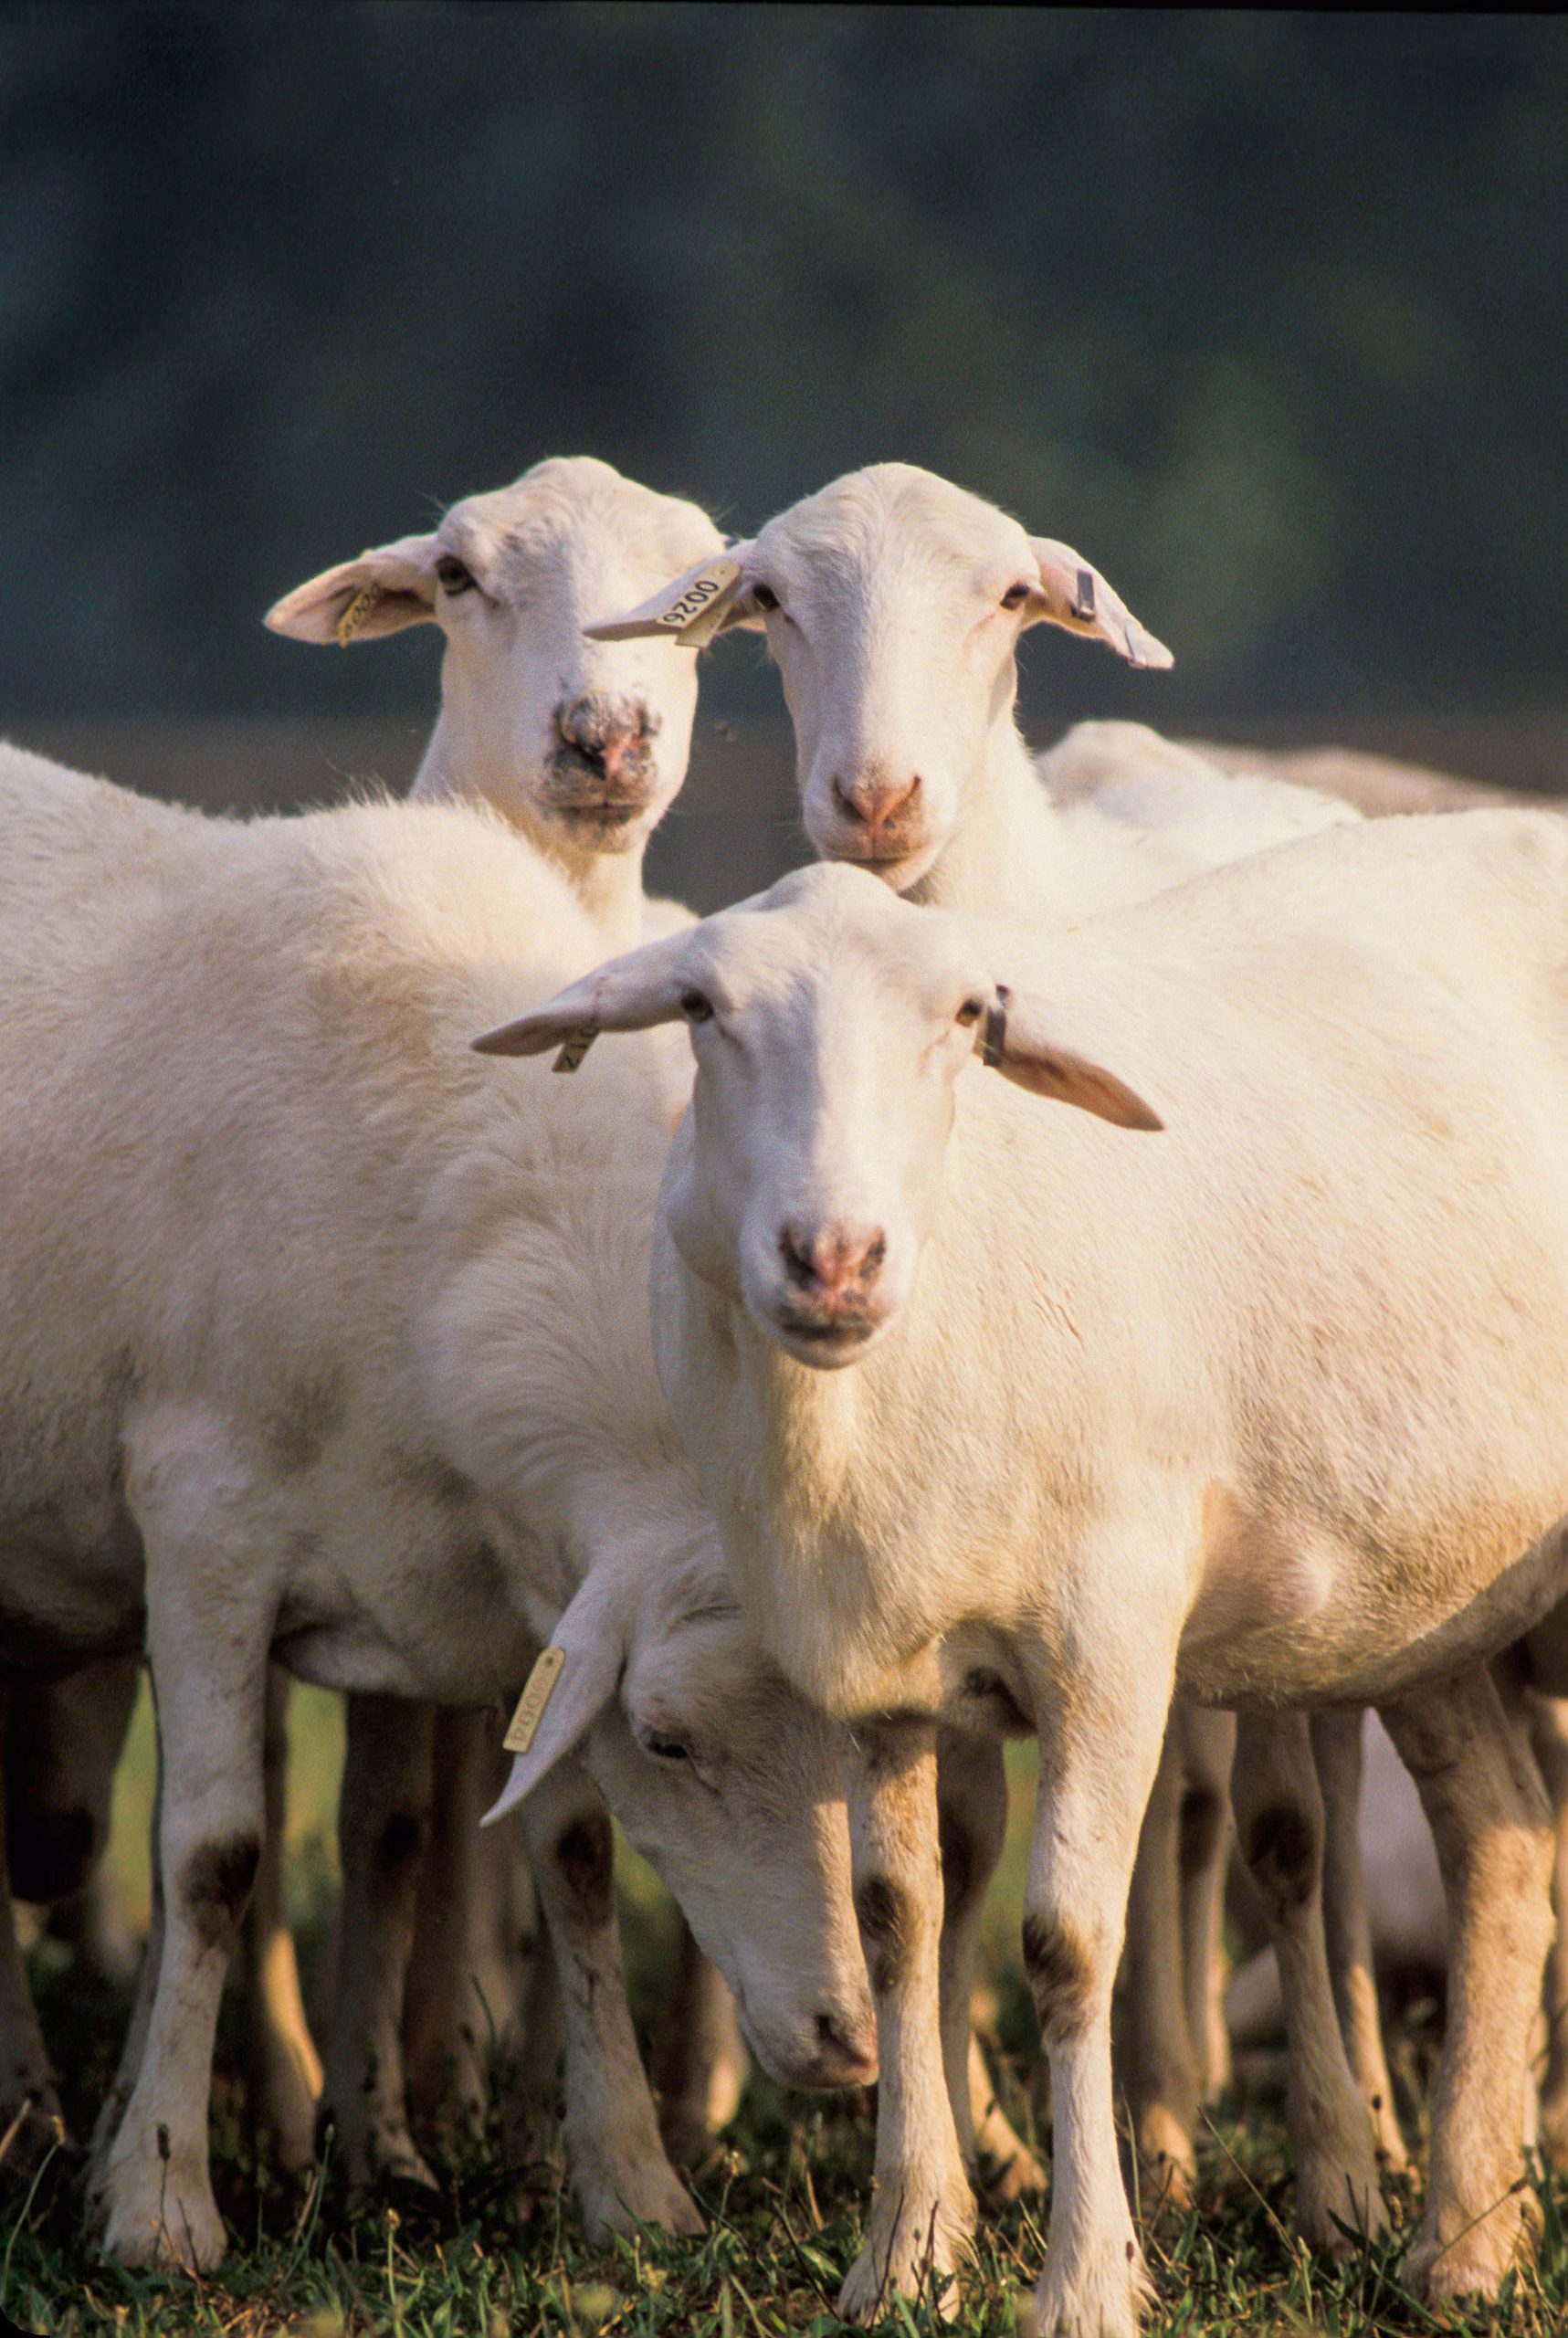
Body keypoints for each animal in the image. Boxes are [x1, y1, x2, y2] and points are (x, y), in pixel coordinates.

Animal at [0, 748, 873, 2269]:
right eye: (671, 1737)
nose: (842, 2042)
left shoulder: (510, 1596)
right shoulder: (204, 1526)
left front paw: (629, 2181)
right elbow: (213, 1856)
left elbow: (569, 1858)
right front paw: (163, 2204)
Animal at [482, 810, 1568, 2332]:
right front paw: (903, 2256)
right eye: (699, 1010)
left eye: (966, 1020)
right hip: (1420, 1595)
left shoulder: (1111, 1632)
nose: (834, 1259)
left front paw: (1085, 2280)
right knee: (1505, 1842)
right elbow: (898, 1919)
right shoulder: (870, 1658)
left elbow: (1064, 1942)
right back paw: (1464, 2244)